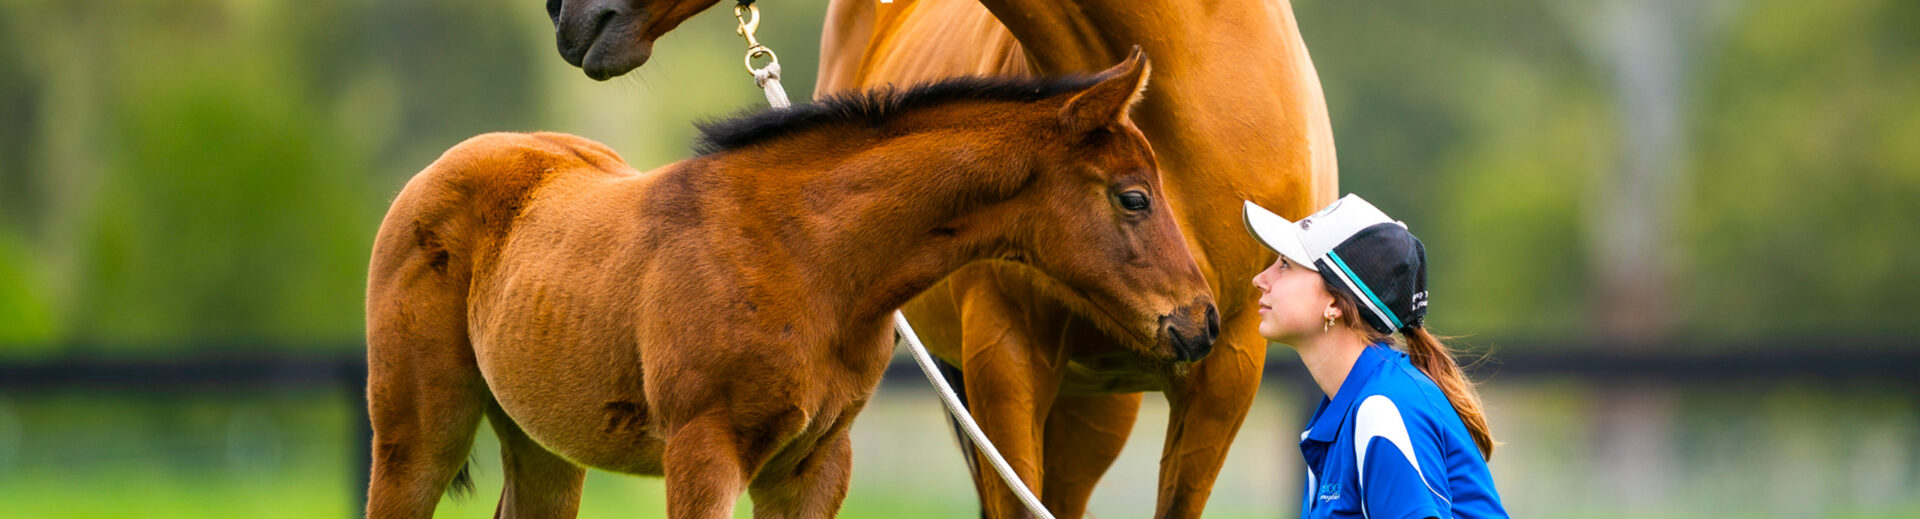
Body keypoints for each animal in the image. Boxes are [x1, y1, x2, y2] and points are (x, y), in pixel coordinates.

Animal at [363, 51, 1219, 518]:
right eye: (1134, 197)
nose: (1201, 321)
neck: (809, 258)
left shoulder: (813, 466)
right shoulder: (703, 451)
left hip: (542, 443)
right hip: (416, 435)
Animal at [545, 0, 1336, 516]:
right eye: (1135, 198)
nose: (565, 12)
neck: (1192, 78)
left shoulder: (1228, 372)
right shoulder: (1000, 358)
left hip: (1098, 404)